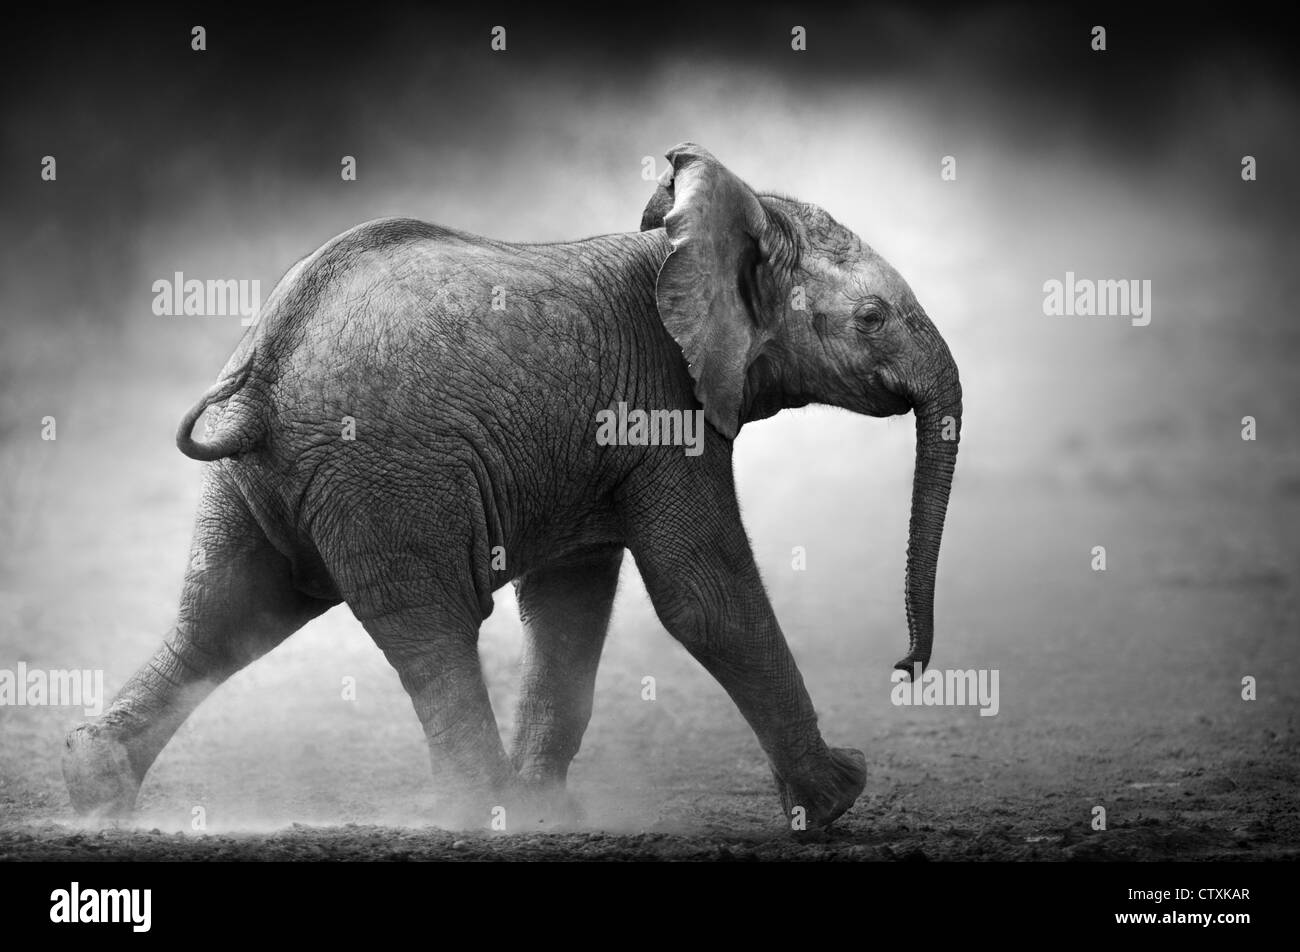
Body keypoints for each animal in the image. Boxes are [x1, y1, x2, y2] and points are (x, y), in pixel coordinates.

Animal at [63, 142, 962, 830]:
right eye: (874, 318)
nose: (904, 668)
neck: (686, 240)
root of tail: (262, 372)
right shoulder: (664, 408)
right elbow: (704, 596)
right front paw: (840, 796)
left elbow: (571, 603)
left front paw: (546, 811)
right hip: (390, 475)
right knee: (430, 631)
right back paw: (477, 812)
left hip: (265, 481)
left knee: (227, 614)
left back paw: (93, 790)